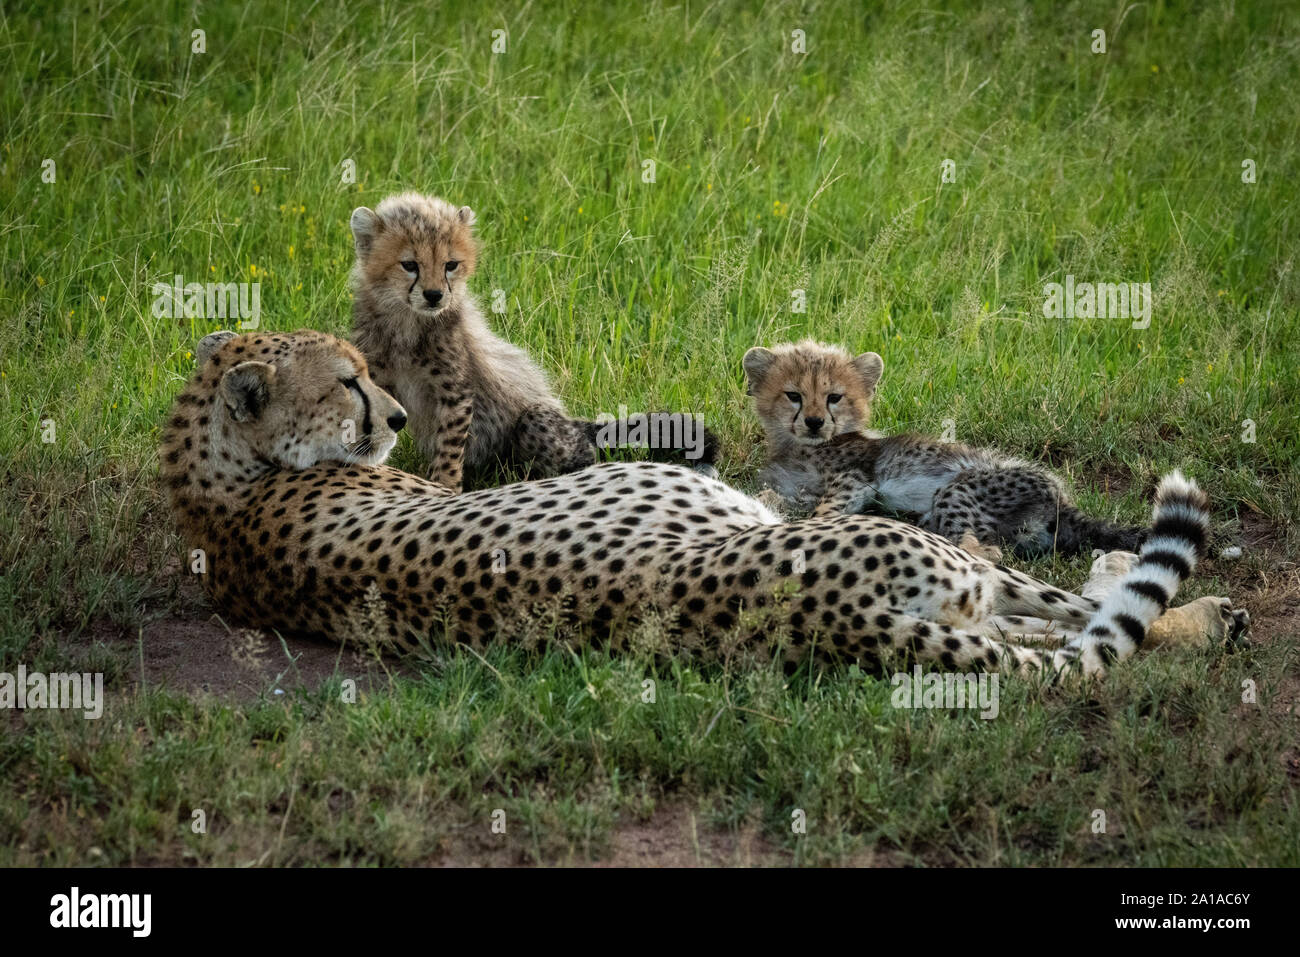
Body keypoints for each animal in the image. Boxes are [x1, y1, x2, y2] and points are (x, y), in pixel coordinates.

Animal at [745, 340, 1152, 562]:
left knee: (987, 551)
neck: (799, 447)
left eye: (834, 398)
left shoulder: (856, 478)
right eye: (793, 395)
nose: (814, 422)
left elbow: (825, 510)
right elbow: (777, 496)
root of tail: (1060, 498)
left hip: (963, 486)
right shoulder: (796, 488)